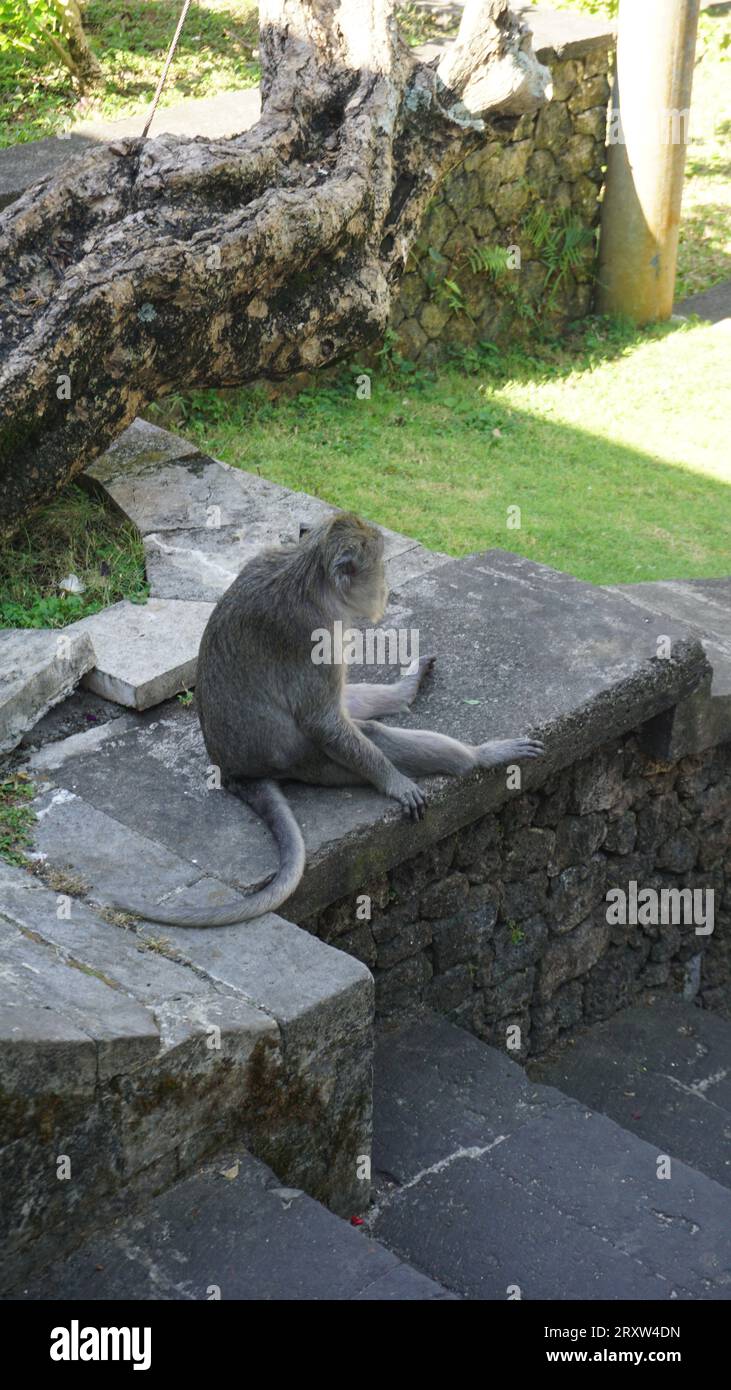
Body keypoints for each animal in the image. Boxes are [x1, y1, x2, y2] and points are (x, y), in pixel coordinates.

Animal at [114, 513, 543, 926]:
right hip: (311, 762)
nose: (386, 588)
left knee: (351, 706)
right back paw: (481, 757)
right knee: (366, 732)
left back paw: (405, 691)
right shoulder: (313, 634)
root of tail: (232, 769)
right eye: (380, 565)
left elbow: (334, 713)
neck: (310, 573)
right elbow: (321, 721)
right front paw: (395, 782)